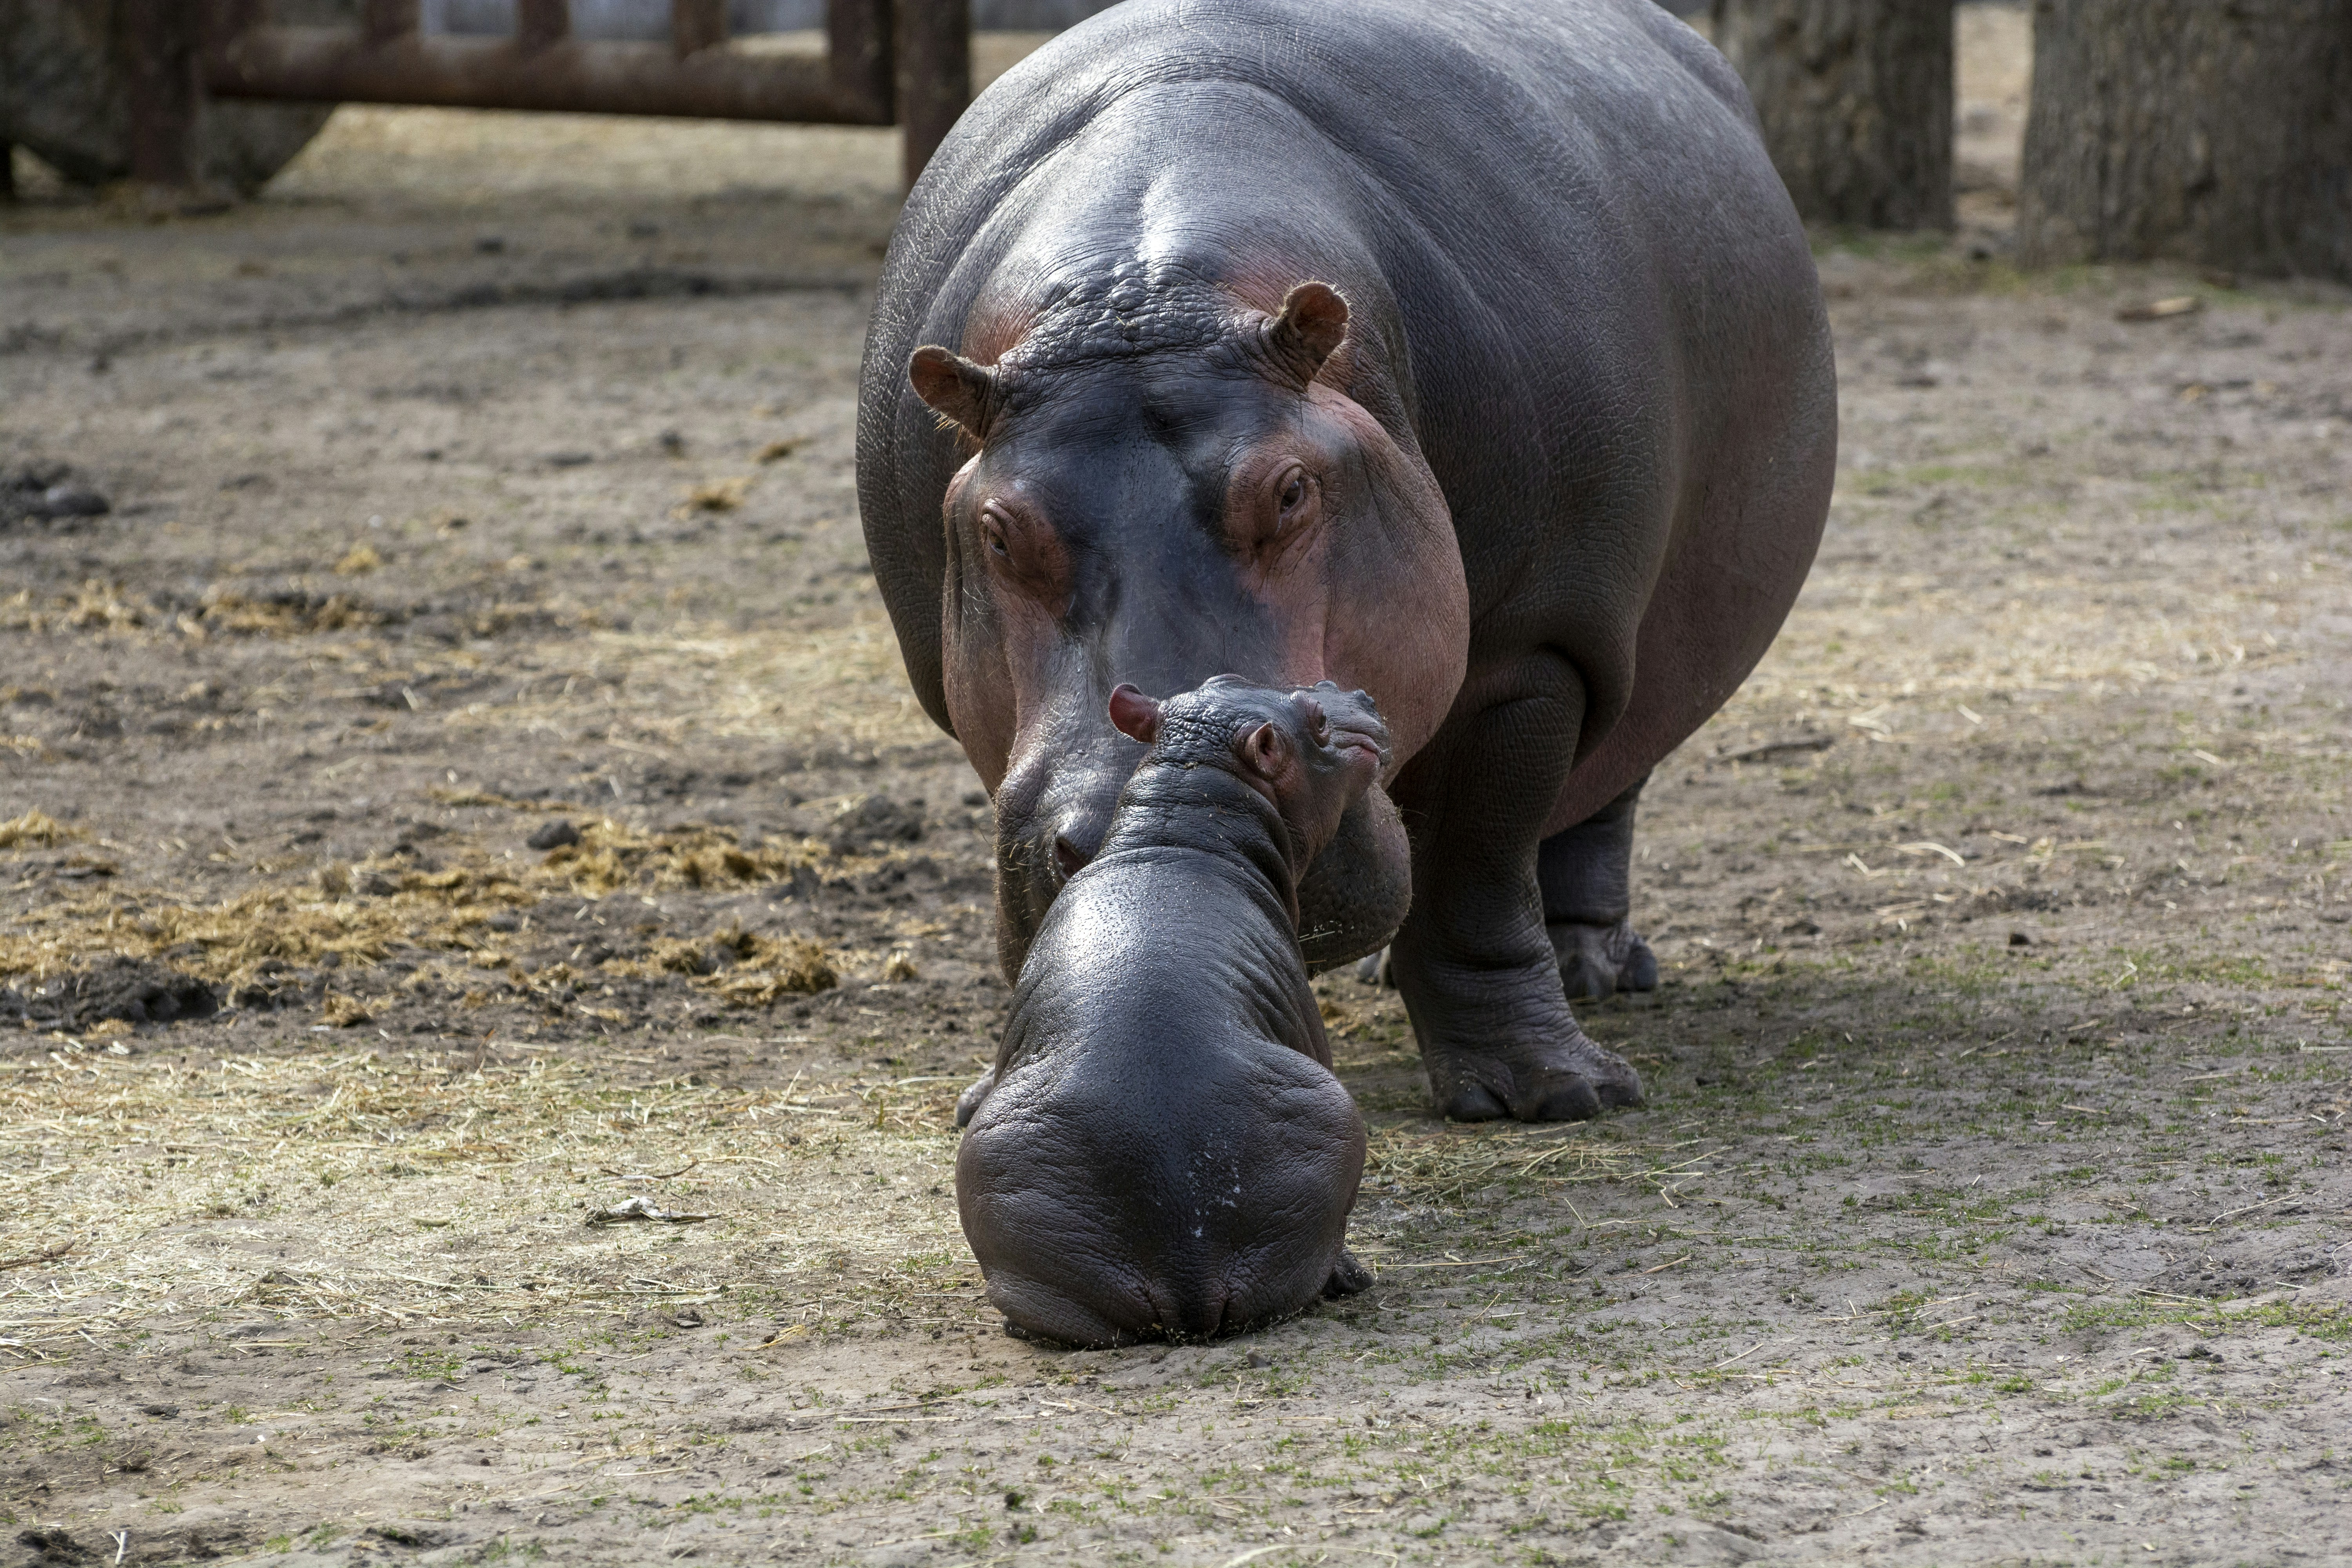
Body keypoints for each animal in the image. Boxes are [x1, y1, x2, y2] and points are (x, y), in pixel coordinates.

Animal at [858, 0, 1832, 1185]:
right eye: (998, 530)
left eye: (1289, 489)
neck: (1146, 296)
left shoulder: (1534, 652)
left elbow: (1478, 874)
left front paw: (1552, 1095)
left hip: (1632, 635)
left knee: (1605, 788)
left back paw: (1590, 970)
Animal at [960, 677, 1388, 1344]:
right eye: (1316, 719)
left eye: (1223, 682)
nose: (1355, 692)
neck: (1178, 823)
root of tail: (1186, 1264)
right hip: (1337, 1111)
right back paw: (1356, 1276)